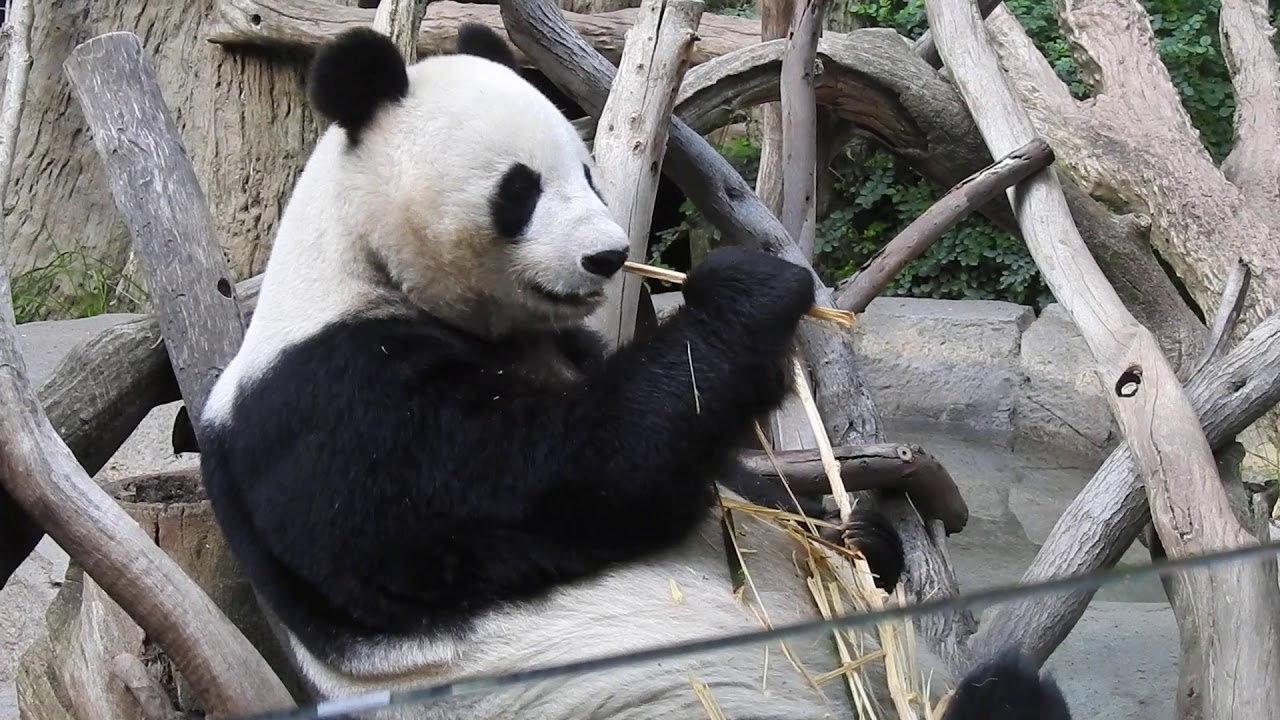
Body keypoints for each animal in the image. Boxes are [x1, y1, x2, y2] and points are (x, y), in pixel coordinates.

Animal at [198, 23, 1072, 720]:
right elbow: (576, 473)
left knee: (1009, 693)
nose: (609, 255)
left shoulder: (560, 344)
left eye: (586, 171)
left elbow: (726, 475)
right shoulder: (330, 397)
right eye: (519, 190)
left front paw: (863, 538)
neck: (362, 263)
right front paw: (749, 291)